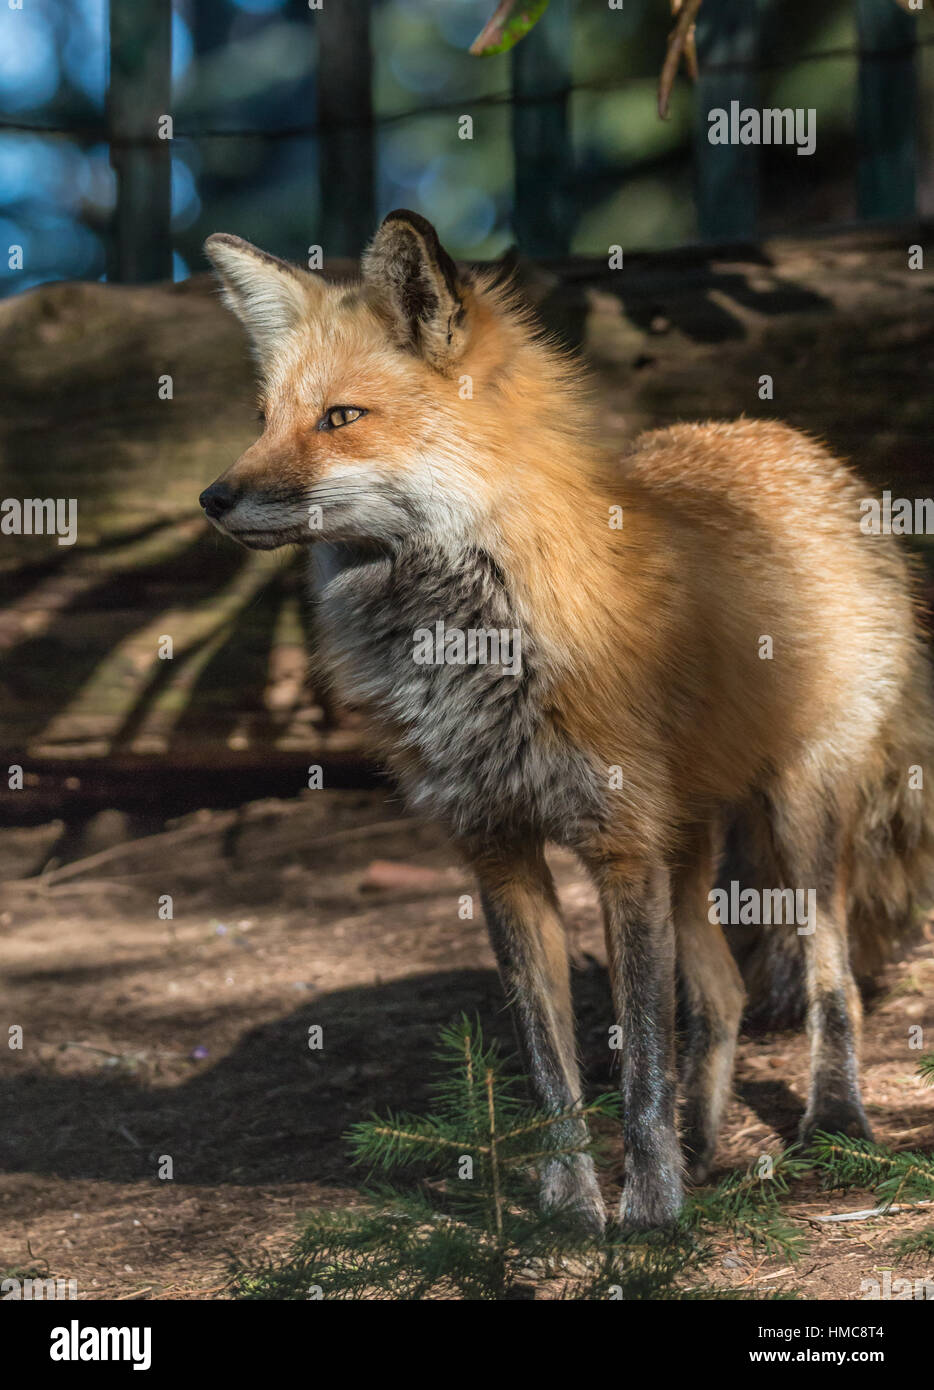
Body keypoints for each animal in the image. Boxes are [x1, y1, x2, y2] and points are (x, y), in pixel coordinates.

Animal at [200, 209, 934, 1232]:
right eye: (262, 420)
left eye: (340, 418)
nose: (212, 499)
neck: (476, 647)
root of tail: (795, 441)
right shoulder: (497, 848)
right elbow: (553, 1065)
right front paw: (571, 1211)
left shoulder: (620, 848)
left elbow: (641, 1062)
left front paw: (652, 1217)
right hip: (688, 842)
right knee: (723, 993)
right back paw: (707, 1153)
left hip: (798, 821)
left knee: (831, 985)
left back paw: (833, 1124)